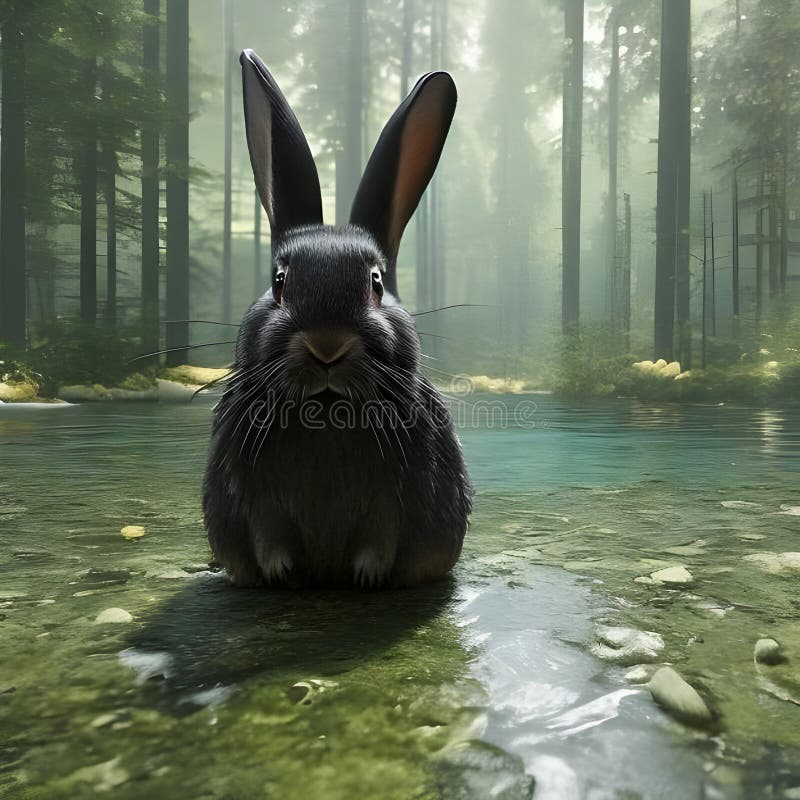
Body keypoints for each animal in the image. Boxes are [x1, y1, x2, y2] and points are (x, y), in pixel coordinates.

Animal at [203, 49, 472, 589]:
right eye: (279, 281)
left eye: (375, 283)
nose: (327, 345)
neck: (326, 414)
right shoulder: (258, 502)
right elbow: (268, 536)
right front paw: (281, 575)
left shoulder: (392, 502)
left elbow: (380, 538)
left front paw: (368, 577)